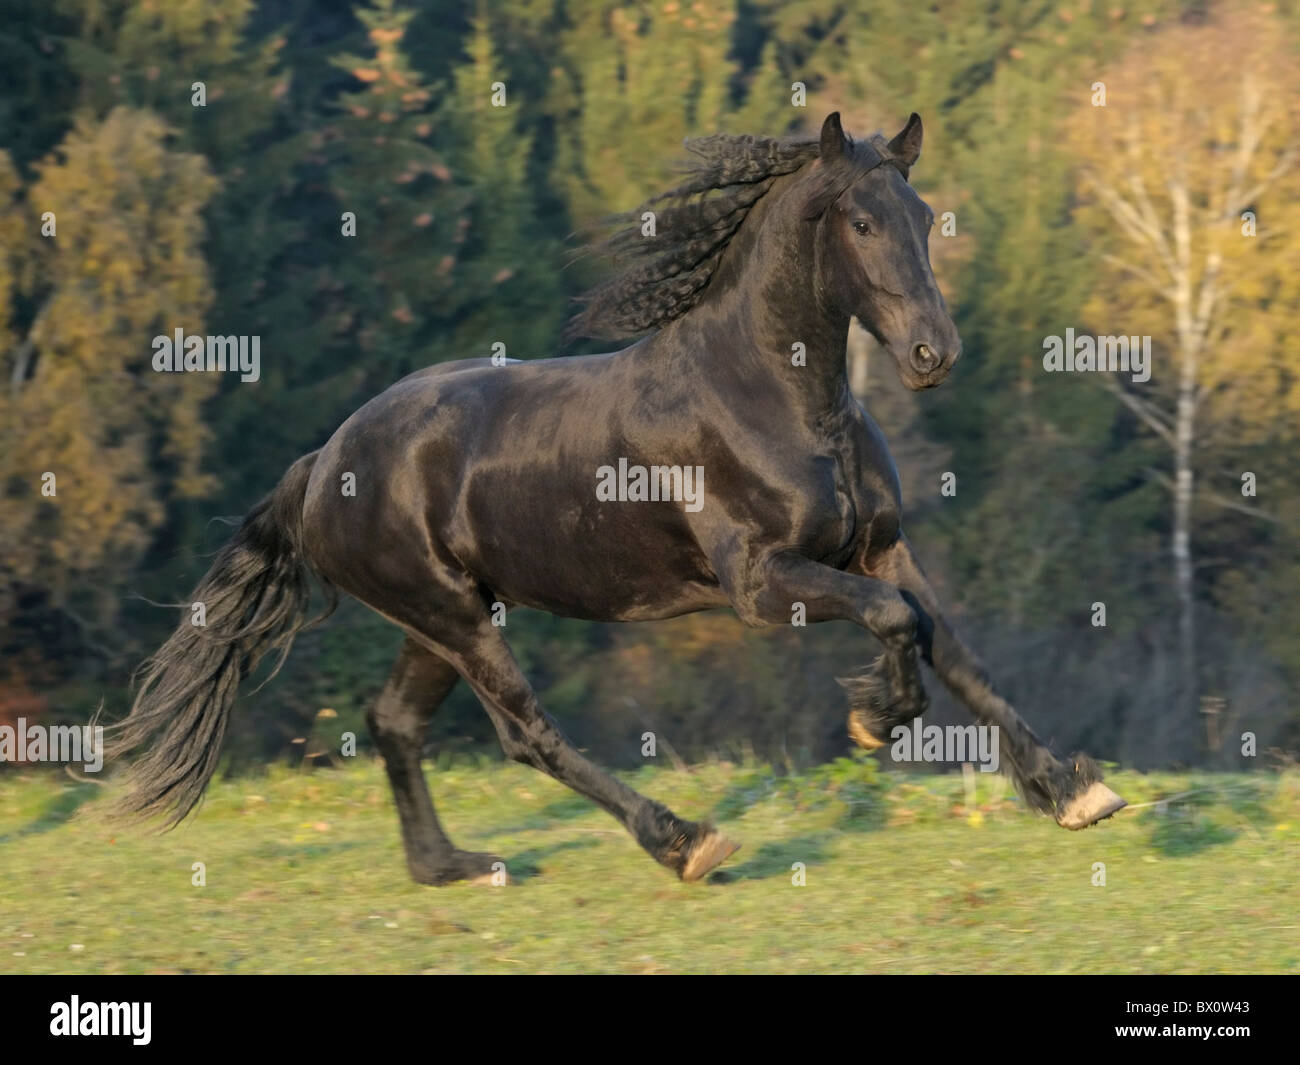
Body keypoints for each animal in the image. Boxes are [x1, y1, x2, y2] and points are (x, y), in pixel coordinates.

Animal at [107, 112, 1126, 885]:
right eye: (862, 224)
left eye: (923, 213)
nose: (931, 355)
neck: (774, 396)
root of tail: (325, 462)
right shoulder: (764, 586)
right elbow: (893, 621)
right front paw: (877, 715)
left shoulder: (880, 546)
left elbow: (955, 649)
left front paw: (1074, 790)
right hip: (452, 616)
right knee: (527, 735)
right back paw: (684, 841)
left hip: (438, 618)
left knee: (395, 723)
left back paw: (452, 866)